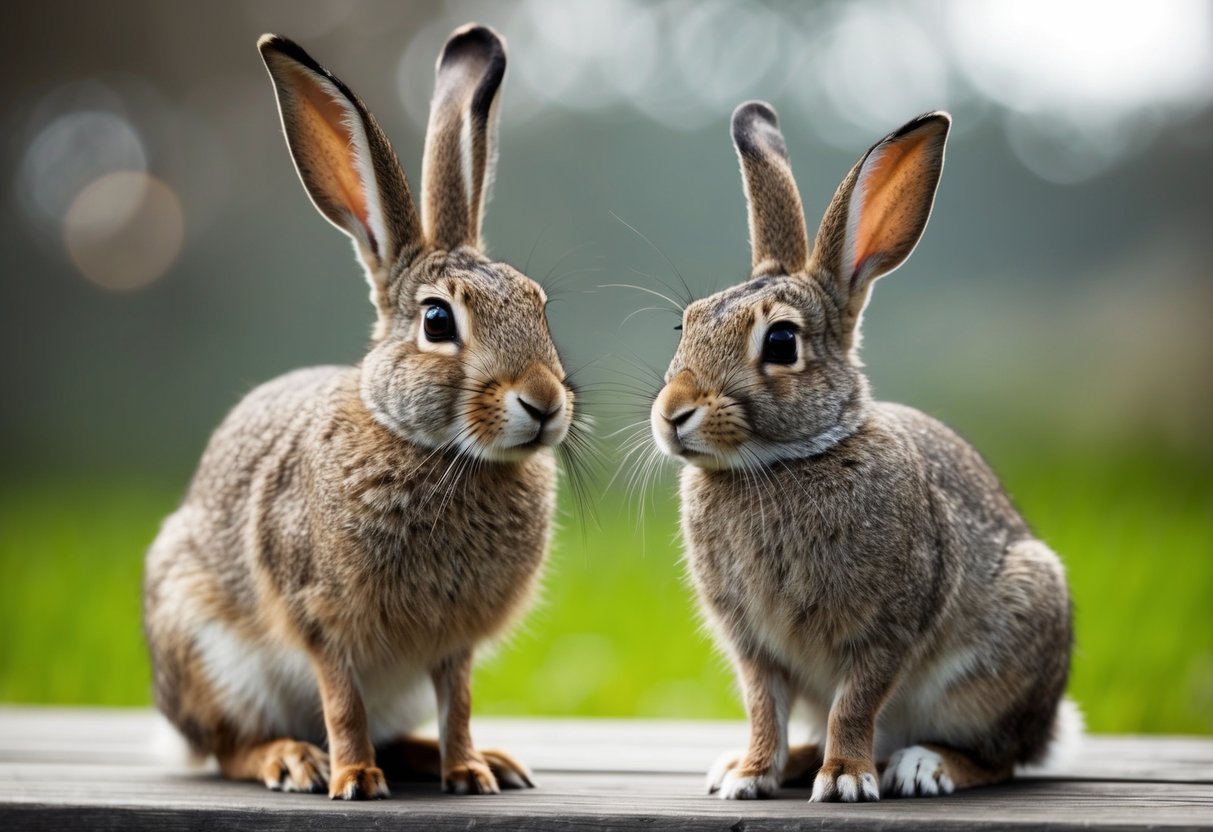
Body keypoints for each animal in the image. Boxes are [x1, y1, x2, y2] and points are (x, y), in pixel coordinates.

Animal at [143, 24, 576, 800]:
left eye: (539, 307)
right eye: (437, 322)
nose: (545, 403)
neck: (436, 451)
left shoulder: (453, 645)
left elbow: (459, 701)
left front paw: (468, 770)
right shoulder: (321, 619)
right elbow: (342, 700)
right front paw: (353, 779)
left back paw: (466, 760)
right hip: (208, 655)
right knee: (227, 746)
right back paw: (293, 761)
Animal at [649, 101, 1076, 802]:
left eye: (782, 342)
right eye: (685, 324)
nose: (672, 413)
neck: (787, 460)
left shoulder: (888, 627)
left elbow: (857, 701)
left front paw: (846, 779)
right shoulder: (754, 645)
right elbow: (762, 705)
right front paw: (749, 774)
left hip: (998, 664)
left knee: (999, 757)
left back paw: (922, 766)